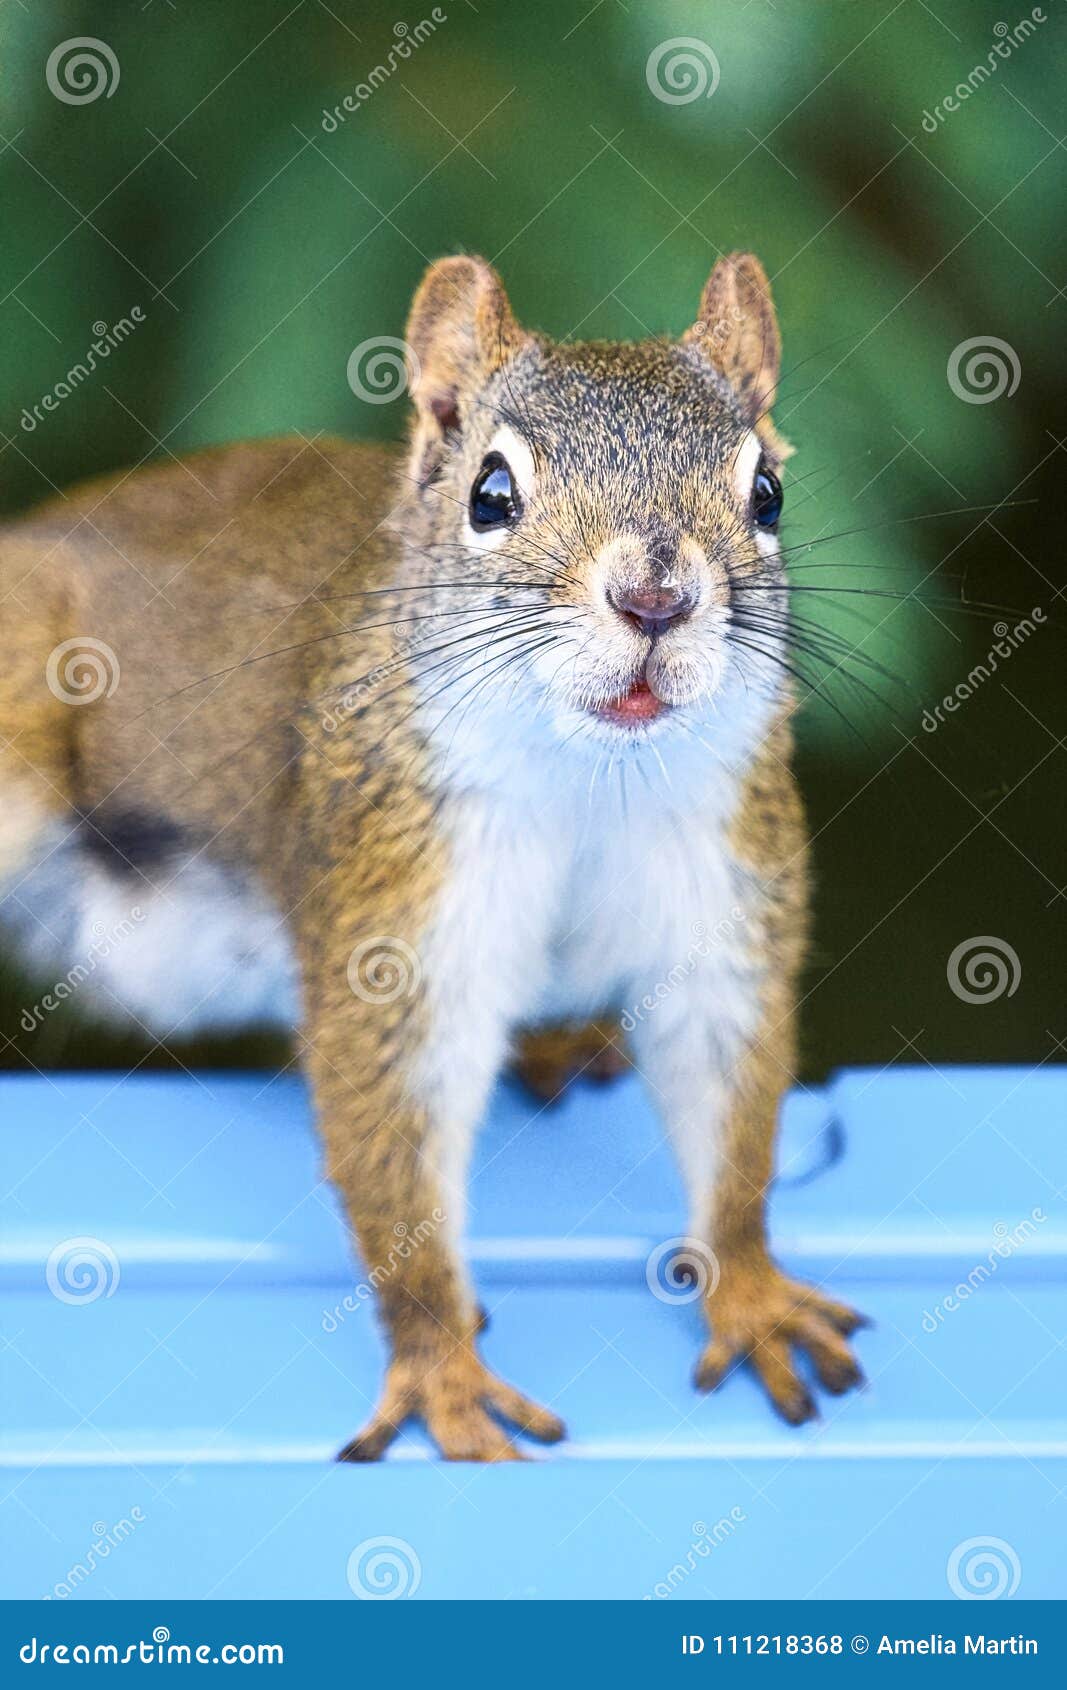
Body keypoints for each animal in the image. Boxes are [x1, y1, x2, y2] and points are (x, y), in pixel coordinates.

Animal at [0, 252, 865, 1460]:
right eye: (489, 495)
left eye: (768, 494)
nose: (655, 597)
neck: (584, 779)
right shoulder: (394, 919)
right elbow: (394, 1151)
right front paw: (442, 1368)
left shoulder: (722, 903)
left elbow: (729, 1116)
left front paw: (748, 1292)